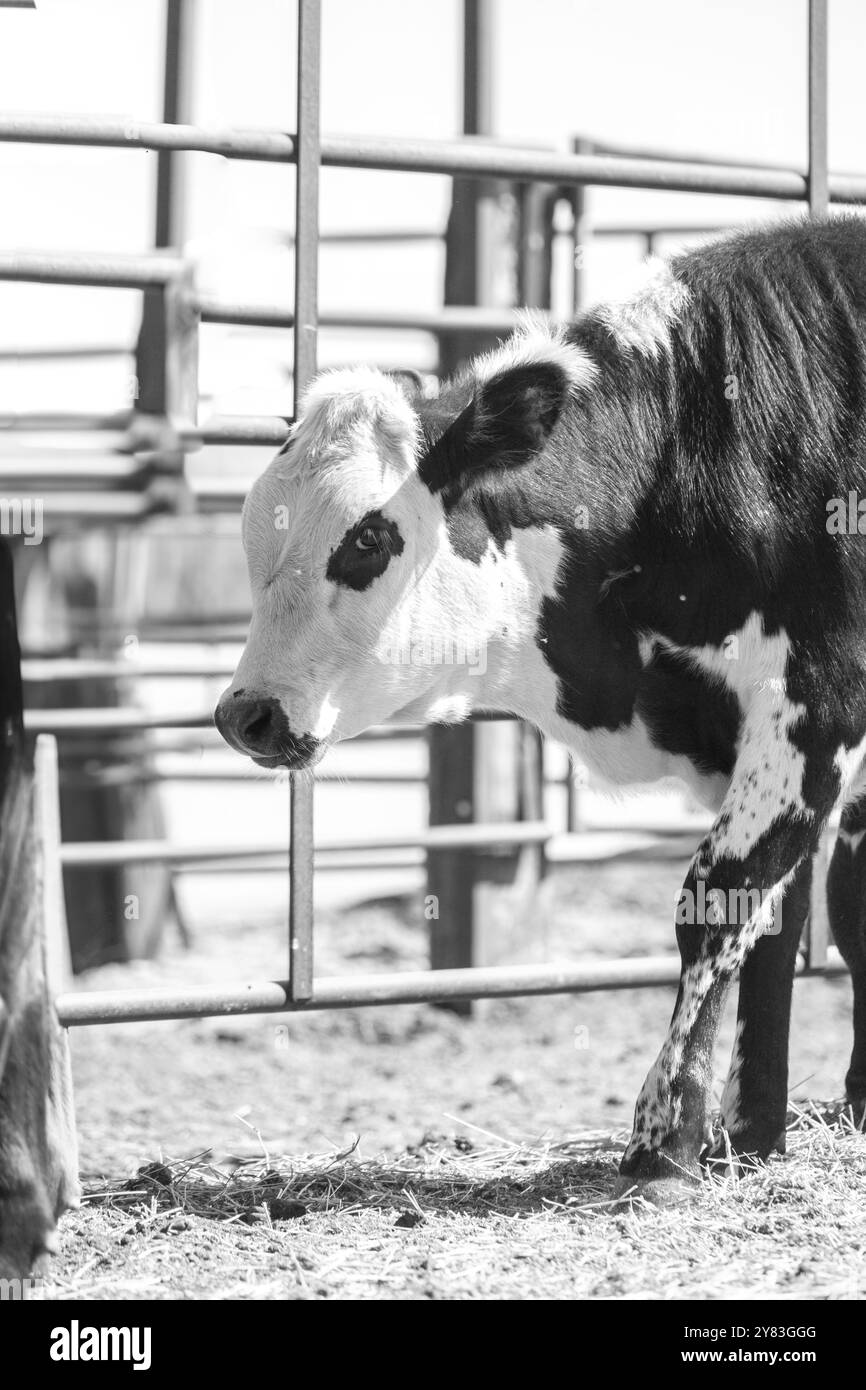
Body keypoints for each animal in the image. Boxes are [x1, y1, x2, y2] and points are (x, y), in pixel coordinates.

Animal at [215, 214, 866, 1203]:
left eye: (367, 538)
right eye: (255, 537)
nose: (245, 713)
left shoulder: (819, 706)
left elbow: (722, 897)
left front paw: (665, 1138)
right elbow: (785, 916)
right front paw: (751, 1132)